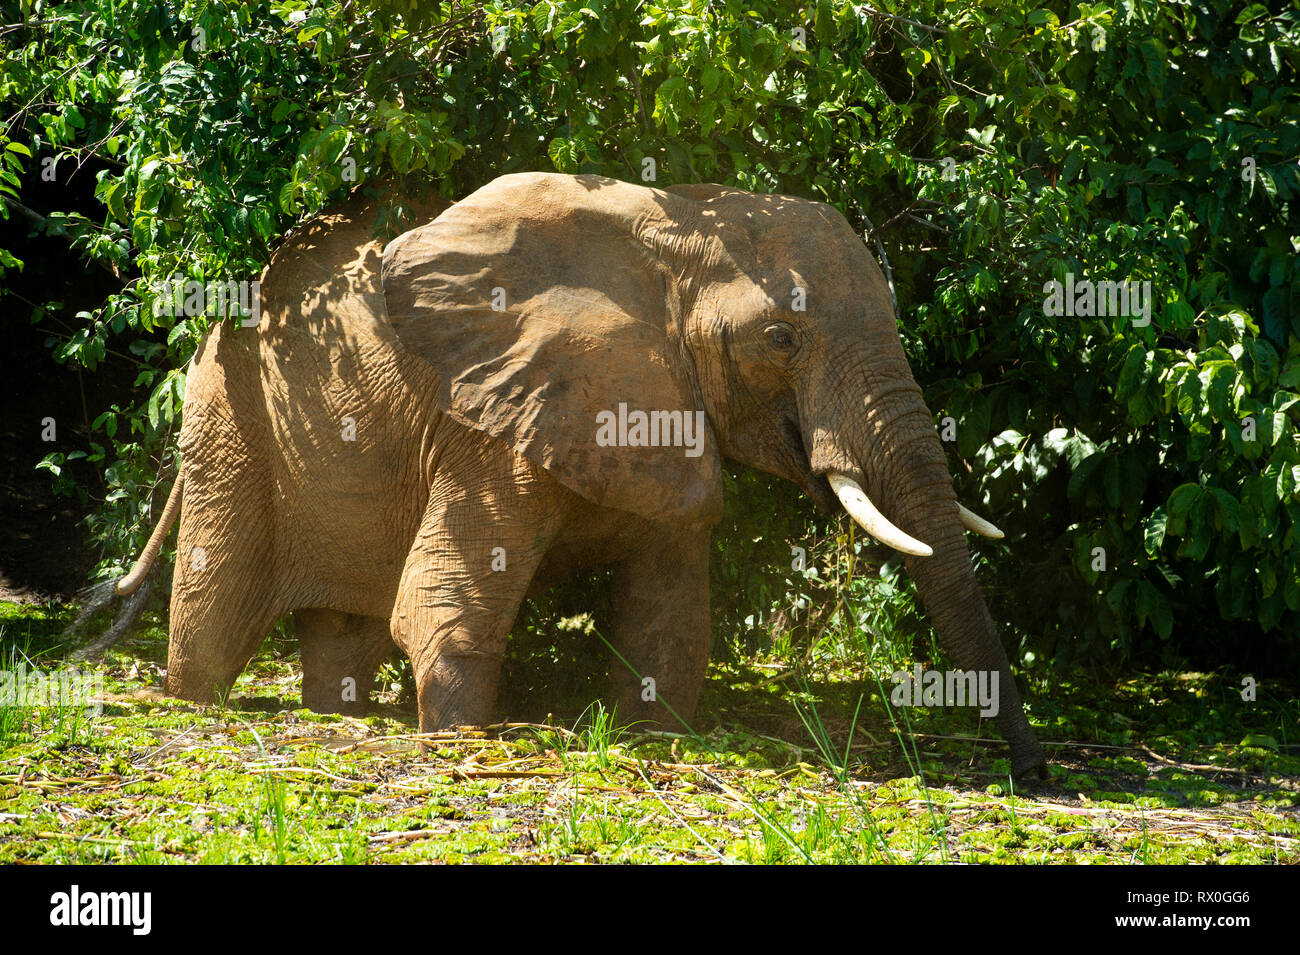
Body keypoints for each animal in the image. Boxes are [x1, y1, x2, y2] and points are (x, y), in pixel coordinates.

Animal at [117, 172, 1049, 779]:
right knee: (212, 619)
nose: (1031, 772)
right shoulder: (491, 417)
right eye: (781, 339)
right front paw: (458, 746)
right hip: (228, 425)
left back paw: (335, 716)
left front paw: (655, 740)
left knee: (342, 627)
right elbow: (443, 598)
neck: (677, 231)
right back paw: (196, 704)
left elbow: (672, 619)